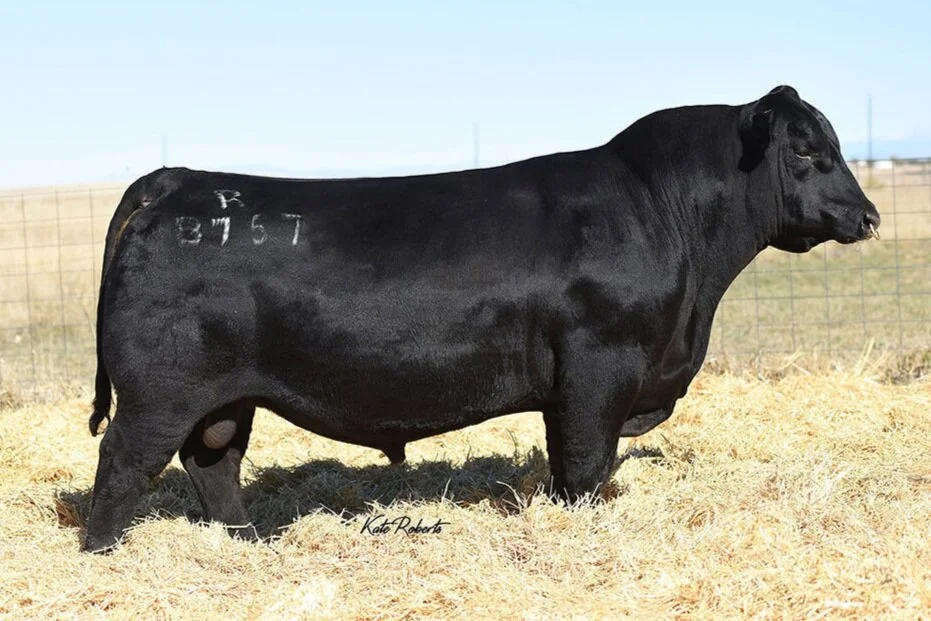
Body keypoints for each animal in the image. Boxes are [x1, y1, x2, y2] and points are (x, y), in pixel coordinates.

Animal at [83, 85, 880, 552]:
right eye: (804, 148)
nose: (867, 215)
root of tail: (178, 180)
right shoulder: (598, 365)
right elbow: (583, 466)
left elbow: (574, 463)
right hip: (159, 392)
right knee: (123, 462)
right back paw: (104, 553)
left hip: (225, 395)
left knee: (213, 461)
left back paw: (250, 544)